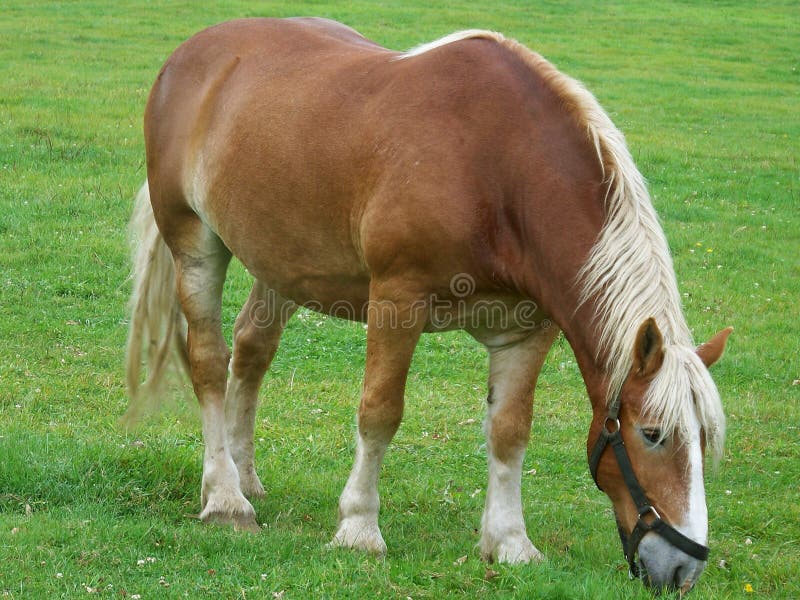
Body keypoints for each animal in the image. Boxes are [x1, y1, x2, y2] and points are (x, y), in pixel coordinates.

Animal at [125, 17, 731, 593]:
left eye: (704, 440)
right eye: (652, 433)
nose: (684, 567)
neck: (497, 169)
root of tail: (192, 53)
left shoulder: (528, 330)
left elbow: (510, 431)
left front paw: (510, 542)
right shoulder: (398, 300)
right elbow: (379, 413)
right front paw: (359, 529)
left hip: (280, 262)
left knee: (250, 354)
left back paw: (243, 475)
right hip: (195, 242)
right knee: (209, 363)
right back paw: (226, 497)